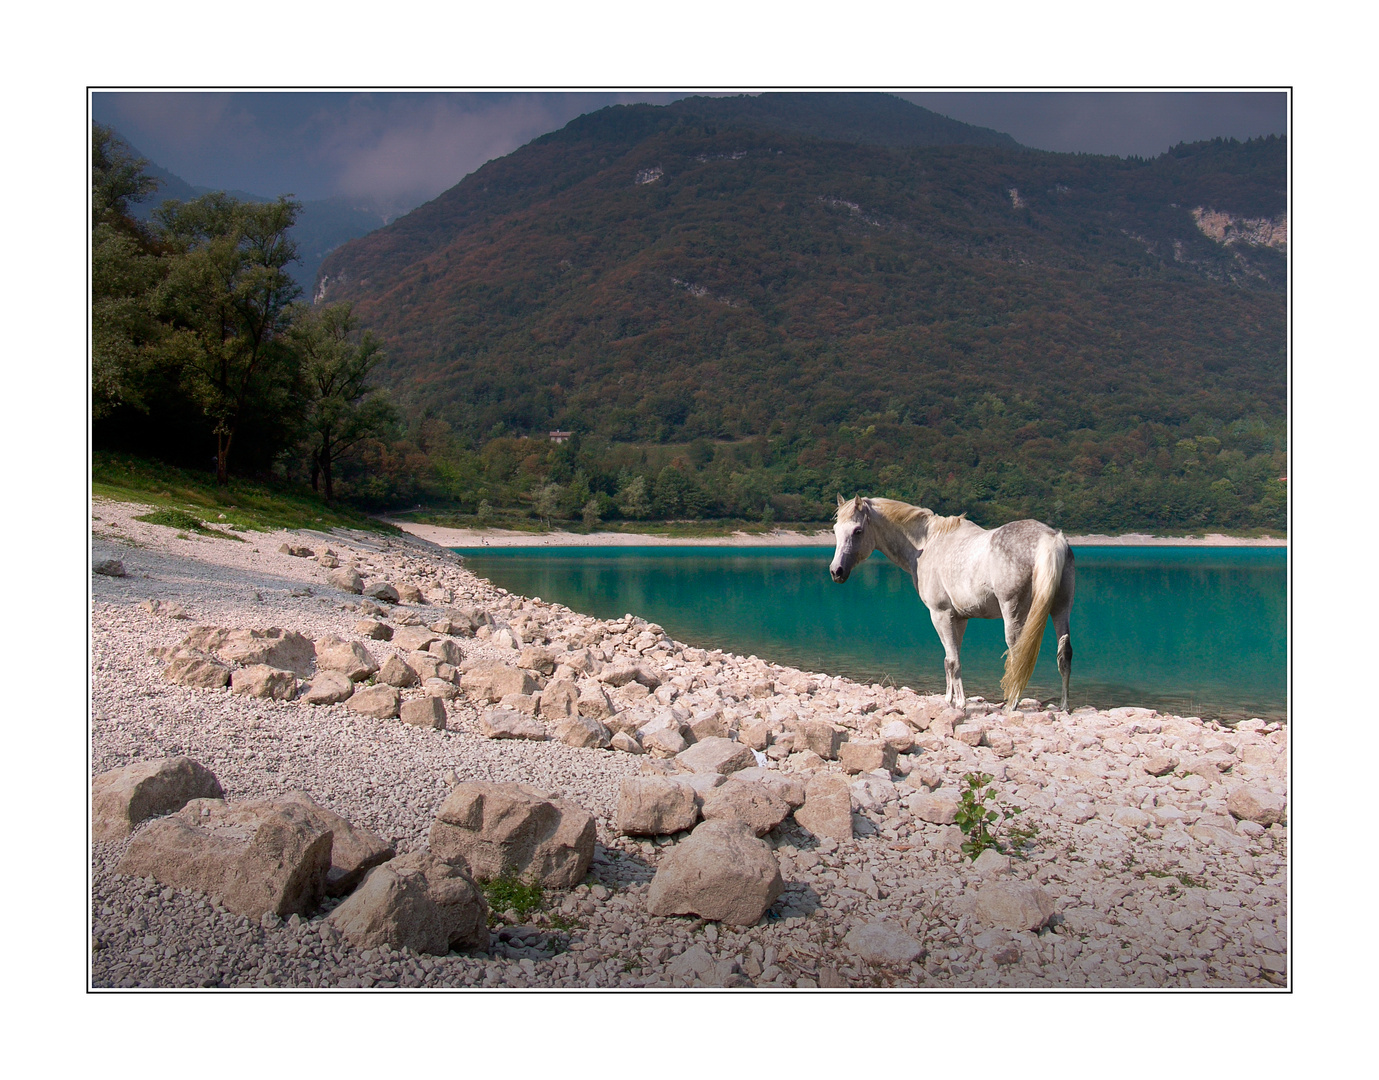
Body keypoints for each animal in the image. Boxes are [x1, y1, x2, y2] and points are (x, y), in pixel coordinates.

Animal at [827, 496, 1075, 711]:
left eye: (857, 531)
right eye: (836, 530)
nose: (836, 571)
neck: (928, 543)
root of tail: (1050, 539)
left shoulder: (940, 614)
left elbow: (953, 660)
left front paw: (961, 703)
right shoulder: (960, 618)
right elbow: (950, 657)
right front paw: (949, 699)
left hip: (1013, 613)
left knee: (1018, 655)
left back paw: (1011, 704)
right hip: (1061, 609)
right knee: (1064, 654)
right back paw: (1064, 706)